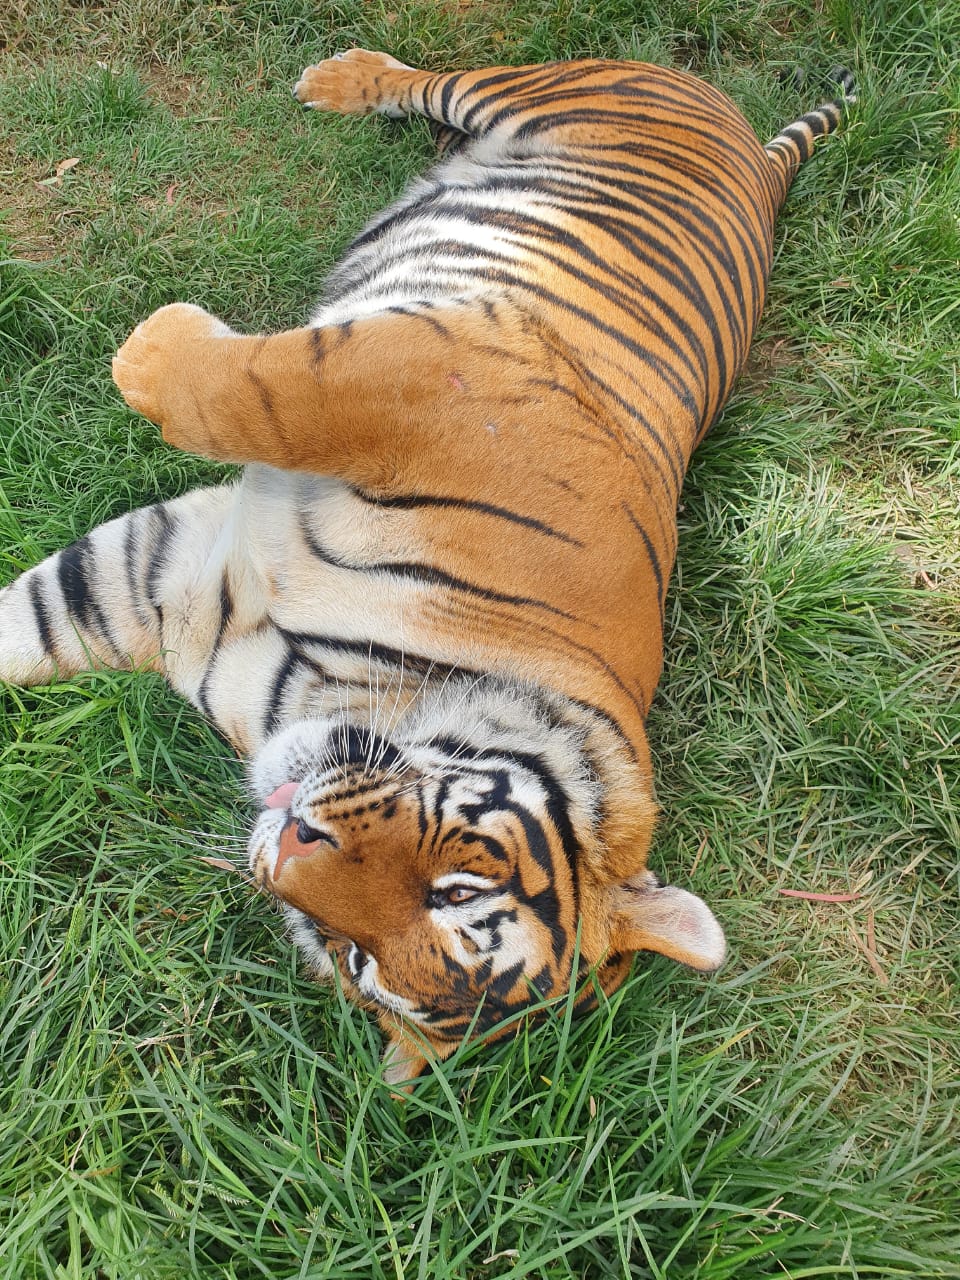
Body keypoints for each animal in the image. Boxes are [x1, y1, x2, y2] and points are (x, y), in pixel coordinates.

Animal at [0, 51, 854, 1084]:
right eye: (457, 889)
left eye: (357, 957)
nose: (290, 836)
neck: (339, 684)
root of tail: (761, 165)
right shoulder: (428, 385)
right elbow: (258, 388)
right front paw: (154, 339)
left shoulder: (171, 580)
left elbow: (39, 621)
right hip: (529, 91)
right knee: (420, 79)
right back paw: (333, 81)